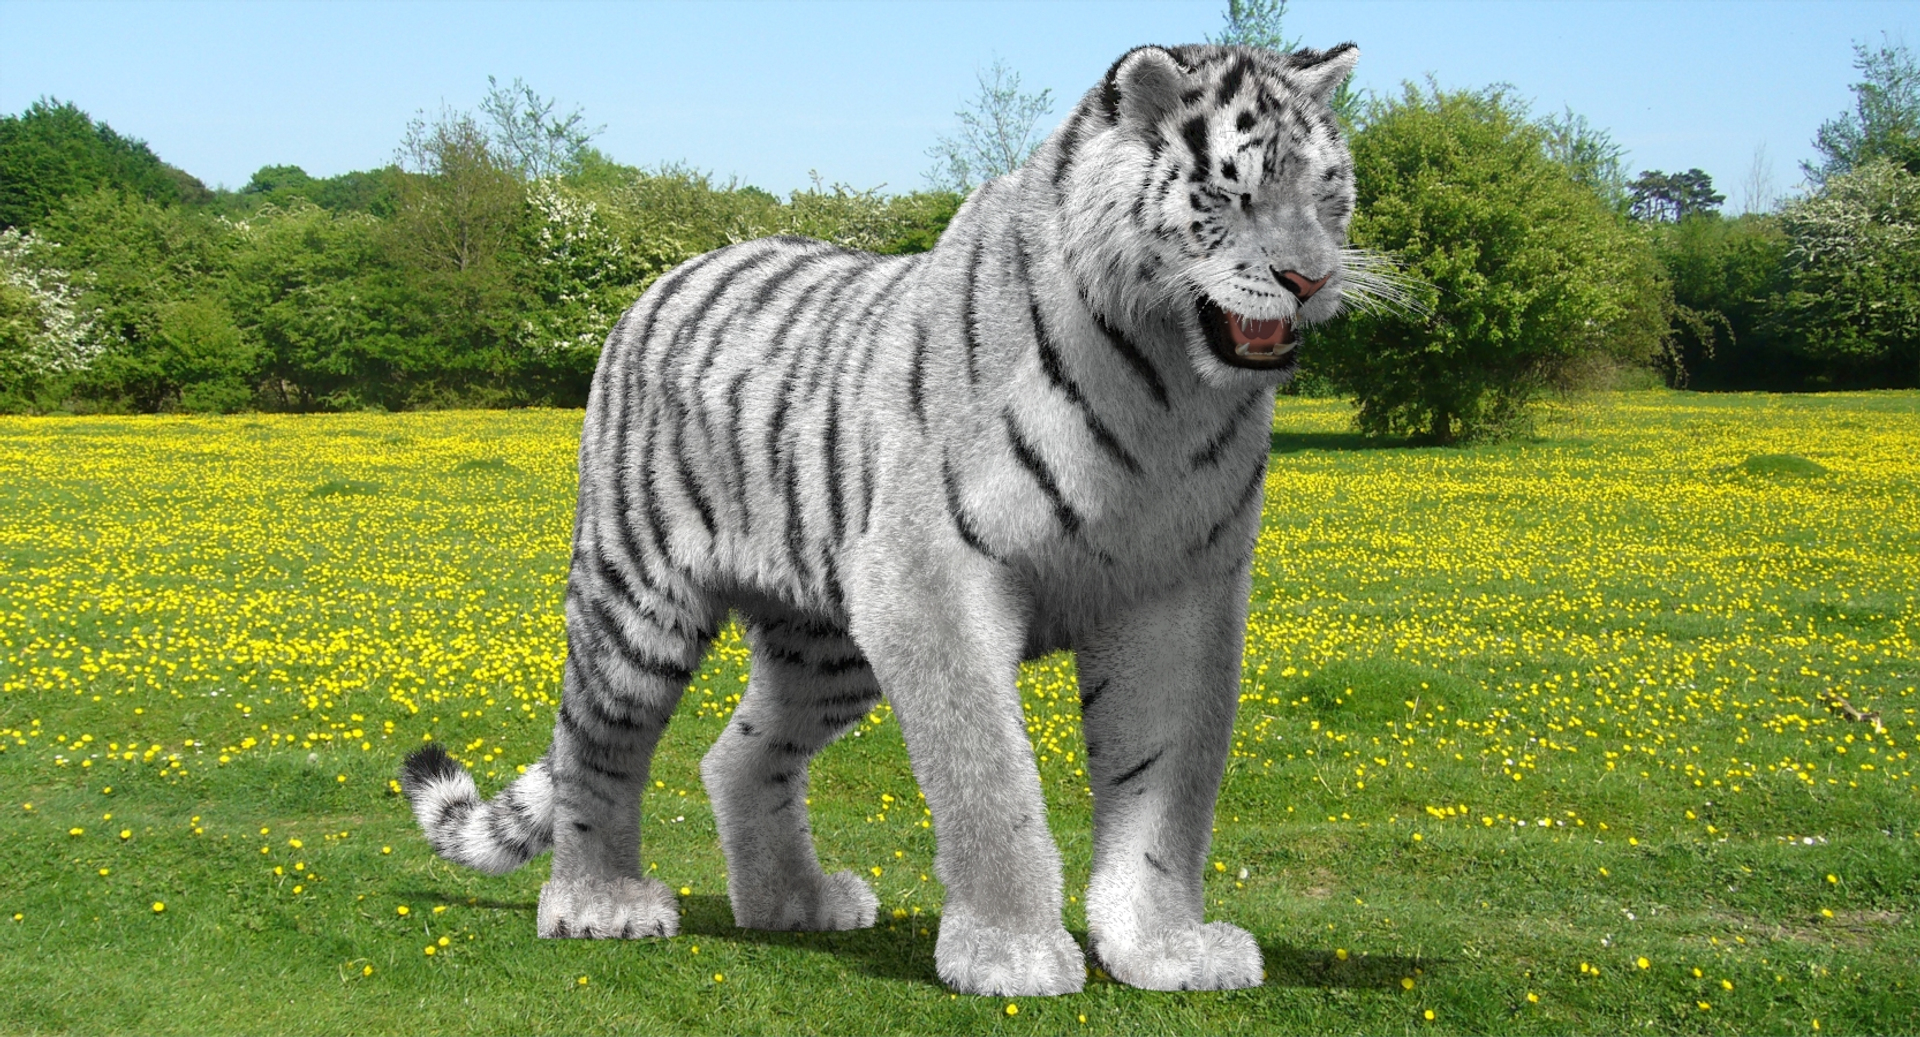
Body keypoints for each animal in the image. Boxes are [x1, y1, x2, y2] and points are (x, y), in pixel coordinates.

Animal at [403, 41, 1387, 996]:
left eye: (1325, 194)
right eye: (1232, 192)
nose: (1310, 279)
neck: (1167, 385)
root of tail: (670, 275)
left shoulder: (1178, 589)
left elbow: (1167, 785)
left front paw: (1164, 950)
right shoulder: (933, 581)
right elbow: (989, 775)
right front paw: (1011, 952)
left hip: (827, 645)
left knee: (738, 755)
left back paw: (792, 904)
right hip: (638, 599)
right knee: (595, 747)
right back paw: (599, 903)